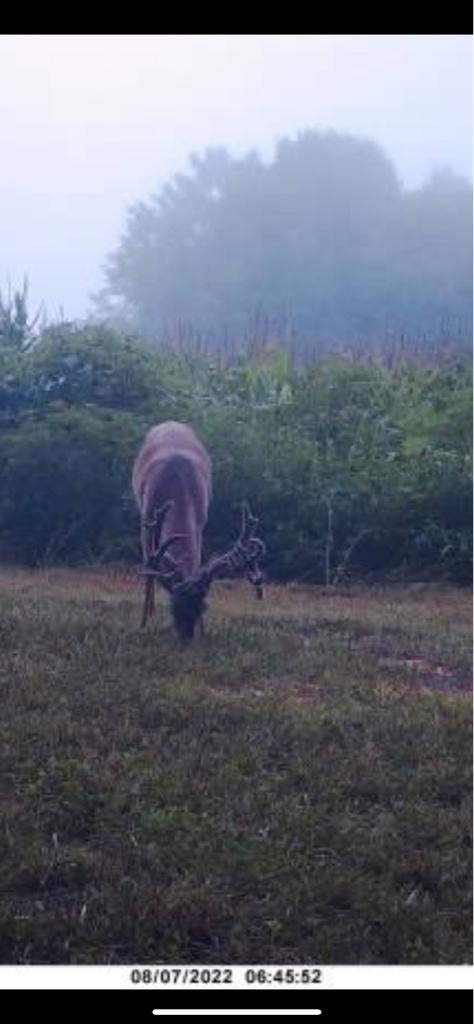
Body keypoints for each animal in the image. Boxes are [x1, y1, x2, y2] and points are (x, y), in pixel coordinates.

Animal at [132, 421, 265, 641]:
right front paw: (143, 623)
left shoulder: (201, 516)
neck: (176, 485)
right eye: (173, 606)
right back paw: (149, 613)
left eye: (202, 607)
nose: (186, 637)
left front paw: (203, 630)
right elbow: (149, 567)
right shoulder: (147, 516)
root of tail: (171, 422)